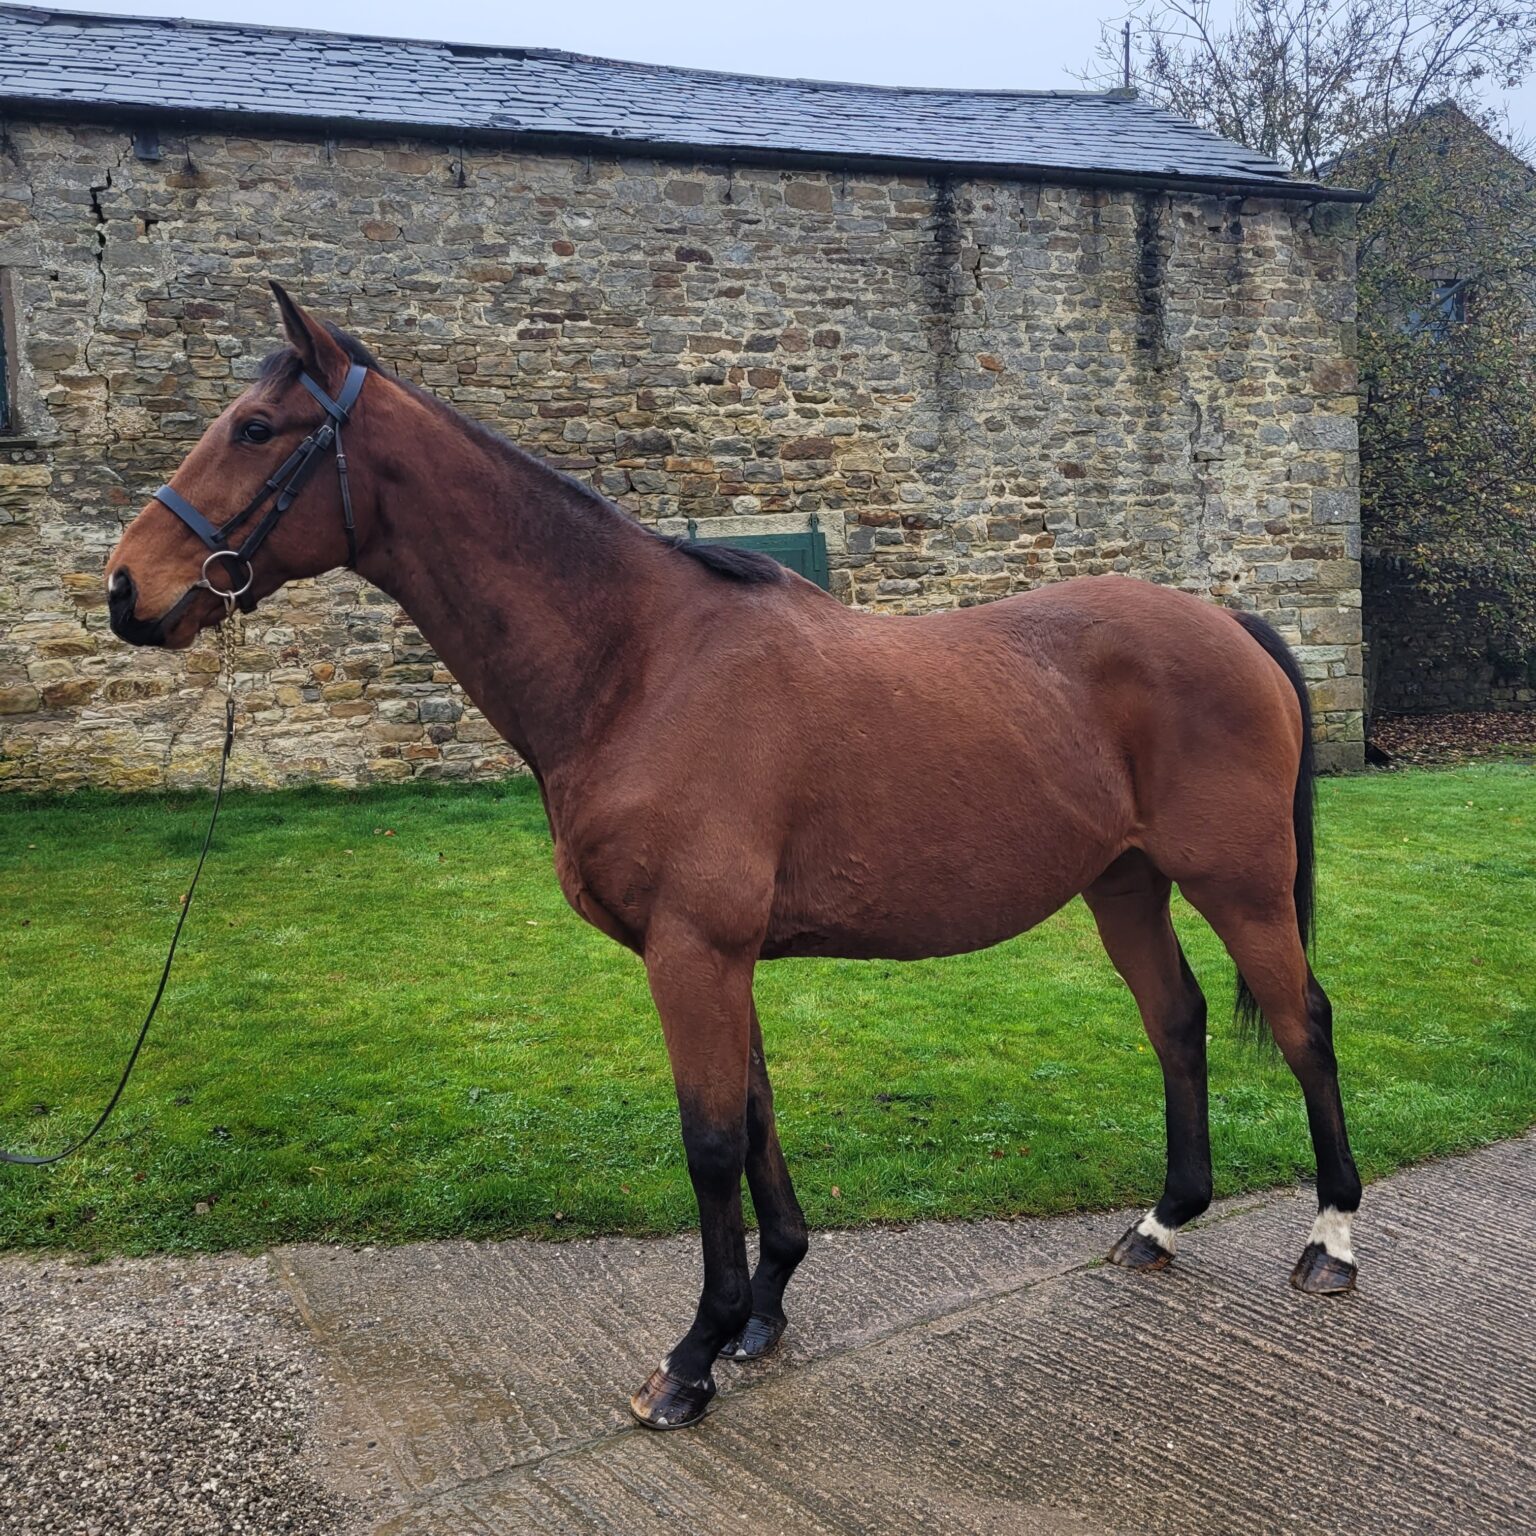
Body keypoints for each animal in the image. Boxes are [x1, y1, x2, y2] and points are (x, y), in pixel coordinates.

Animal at [104, 285, 1362, 1430]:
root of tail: (1231, 624)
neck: (640, 665)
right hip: (1125, 884)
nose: (126, 588)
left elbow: (708, 1141)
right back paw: (1163, 1221)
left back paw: (1332, 1240)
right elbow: (755, 1115)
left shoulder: (693, 949)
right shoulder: (718, 953)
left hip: (1239, 883)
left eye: (255, 429)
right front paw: (763, 1309)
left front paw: (693, 1356)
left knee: (1302, 1022)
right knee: (1178, 1022)